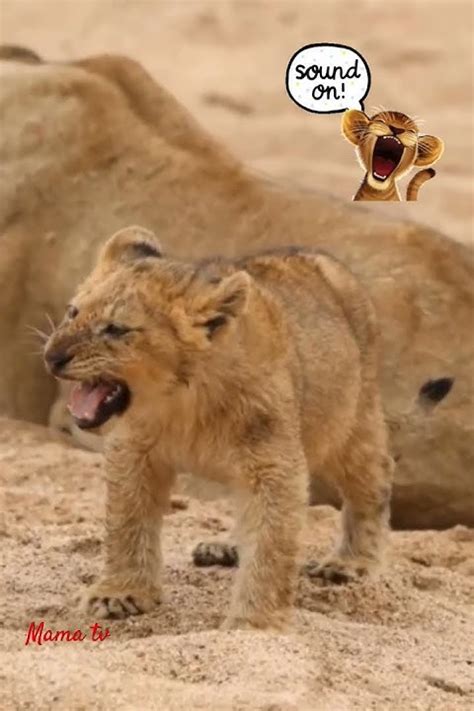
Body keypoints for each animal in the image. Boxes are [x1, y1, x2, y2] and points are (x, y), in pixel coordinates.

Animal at [43, 226, 393, 629]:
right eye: (73, 311)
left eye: (117, 329)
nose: (52, 357)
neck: (181, 402)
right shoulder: (134, 452)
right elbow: (127, 521)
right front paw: (120, 593)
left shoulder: (274, 464)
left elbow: (272, 540)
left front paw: (253, 624)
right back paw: (224, 547)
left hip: (352, 423)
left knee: (373, 483)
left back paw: (350, 562)